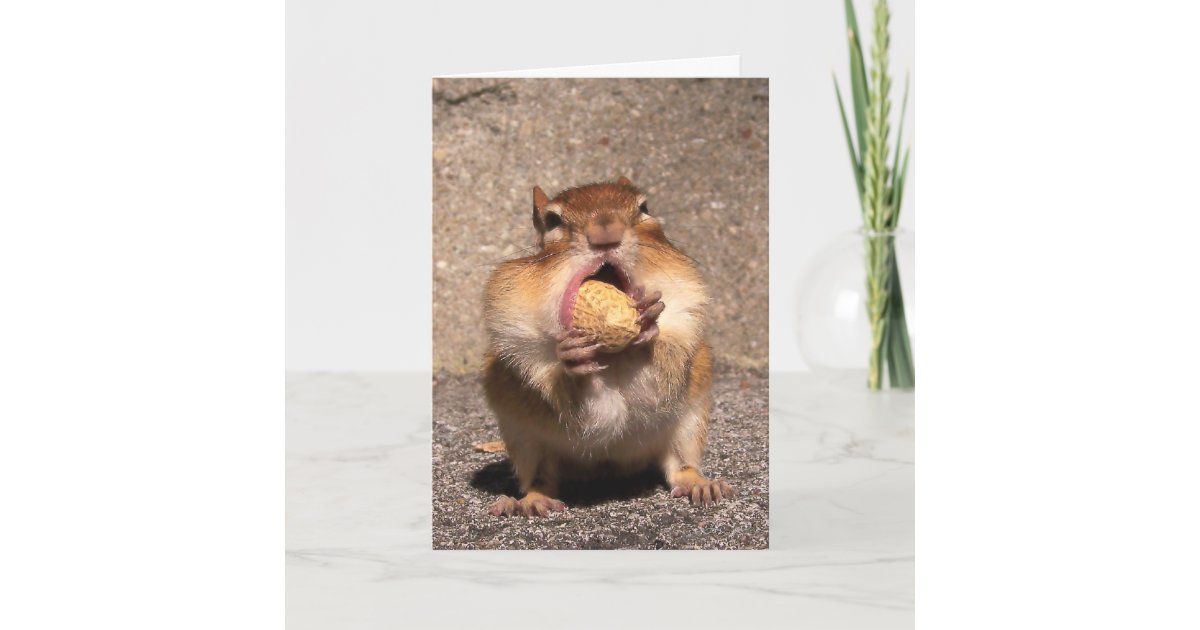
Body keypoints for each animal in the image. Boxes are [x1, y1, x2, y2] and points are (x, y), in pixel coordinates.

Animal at [481, 176, 734, 517]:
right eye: (552, 221)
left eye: (644, 208)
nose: (606, 233)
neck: (612, 359)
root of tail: (607, 469)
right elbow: (587, 411)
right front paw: (573, 364)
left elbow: (656, 385)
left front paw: (646, 328)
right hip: (524, 440)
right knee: (541, 479)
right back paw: (530, 501)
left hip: (690, 423)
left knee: (680, 467)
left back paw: (701, 484)